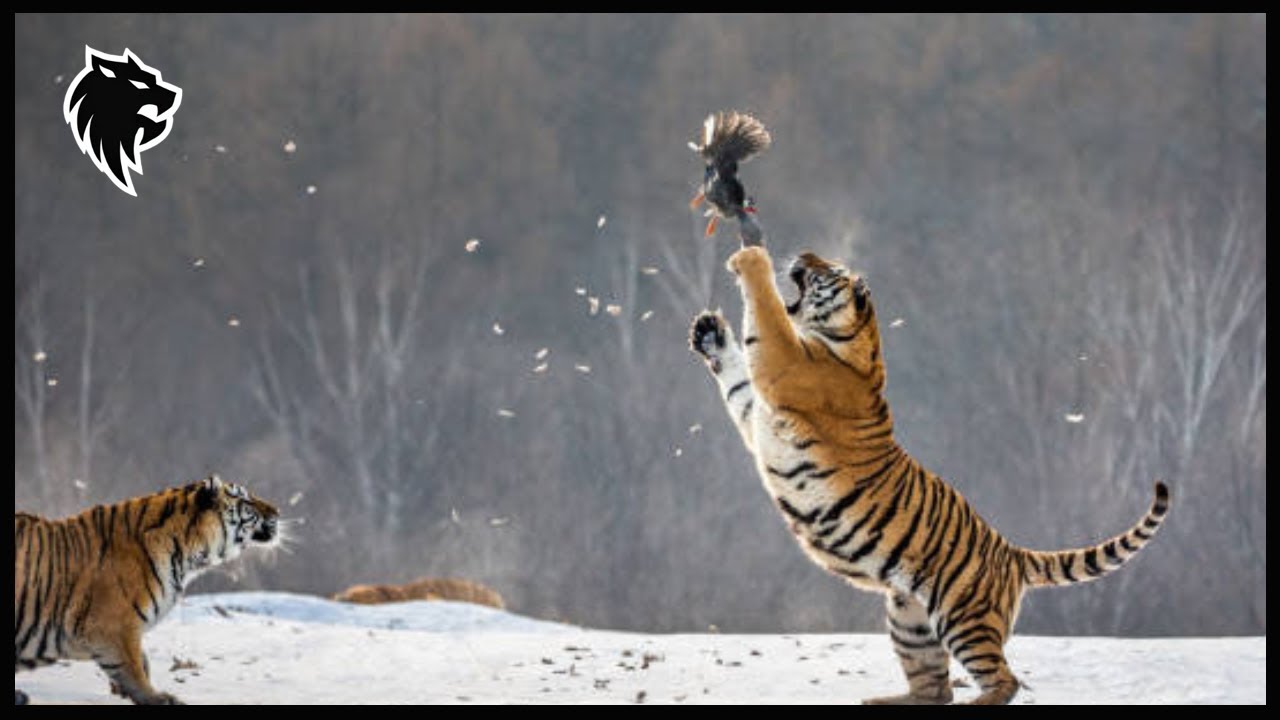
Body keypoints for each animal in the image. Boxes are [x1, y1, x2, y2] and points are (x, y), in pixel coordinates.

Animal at [14, 475, 280, 705]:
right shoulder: (113, 627)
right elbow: (132, 667)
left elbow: (143, 661)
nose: (278, 512)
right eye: (246, 500)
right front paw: (157, 698)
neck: (186, 555)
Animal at [689, 245, 1170, 705]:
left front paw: (751, 259)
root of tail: (1012, 553)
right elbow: (738, 382)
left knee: (1004, 680)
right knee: (934, 689)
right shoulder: (760, 413)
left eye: (830, 268)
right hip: (910, 621)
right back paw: (884, 700)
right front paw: (710, 332)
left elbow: (766, 314)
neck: (848, 337)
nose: (804, 257)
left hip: (965, 619)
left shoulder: (785, 364)